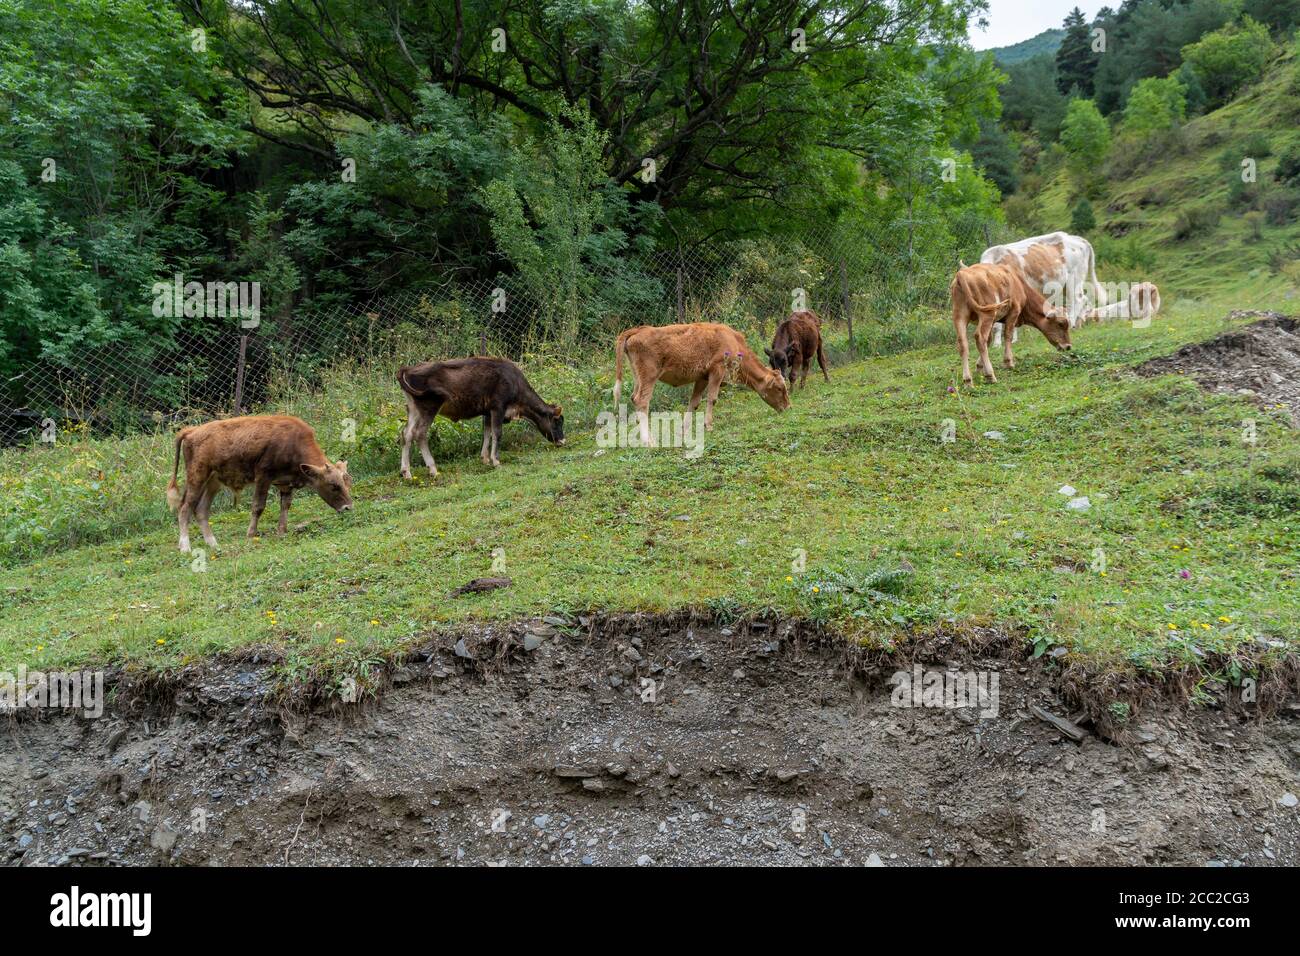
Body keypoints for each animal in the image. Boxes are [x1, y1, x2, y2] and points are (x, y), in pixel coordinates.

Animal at [165, 415, 353, 553]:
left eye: (347, 483)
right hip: (197, 477)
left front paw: (282, 532)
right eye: (333, 485)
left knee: (201, 510)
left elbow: (285, 505)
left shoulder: (285, 483)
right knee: (185, 508)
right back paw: (185, 547)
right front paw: (250, 534)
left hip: (213, 482)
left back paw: (213, 544)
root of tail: (192, 431)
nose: (348, 508)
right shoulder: (263, 476)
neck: (293, 442)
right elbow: (258, 506)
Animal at [396, 356, 564, 478]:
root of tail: (408, 368)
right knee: (420, 433)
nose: (563, 441)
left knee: (406, 433)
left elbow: (487, 433)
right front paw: (496, 461)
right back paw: (433, 469)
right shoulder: (498, 407)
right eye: (557, 422)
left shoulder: (487, 411)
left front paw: (484, 458)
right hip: (429, 407)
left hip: (413, 409)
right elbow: (497, 433)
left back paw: (406, 472)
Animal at [614, 322, 789, 446]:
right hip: (649, 377)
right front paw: (708, 425)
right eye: (780, 388)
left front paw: (684, 430)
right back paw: (648, 440)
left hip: (639, 378)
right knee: (642, 401)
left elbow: (694, 402)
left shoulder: (702, 378)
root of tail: (639, 330)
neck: (734, 342)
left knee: (633, 398)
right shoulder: (717, 371)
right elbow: (712, 398)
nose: (788, 407)